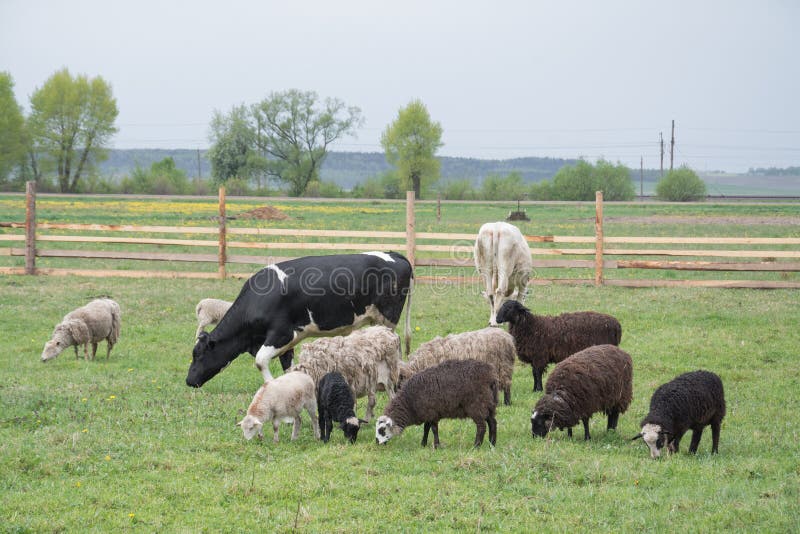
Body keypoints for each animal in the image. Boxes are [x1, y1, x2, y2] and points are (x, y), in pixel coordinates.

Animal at [186, 251, 414, 388]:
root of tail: (394, 254)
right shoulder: (288, 343)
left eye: (199, 355)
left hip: (388, 319)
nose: (188, 380)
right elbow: (288, 368)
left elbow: (260, 361)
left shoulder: (281, 334)